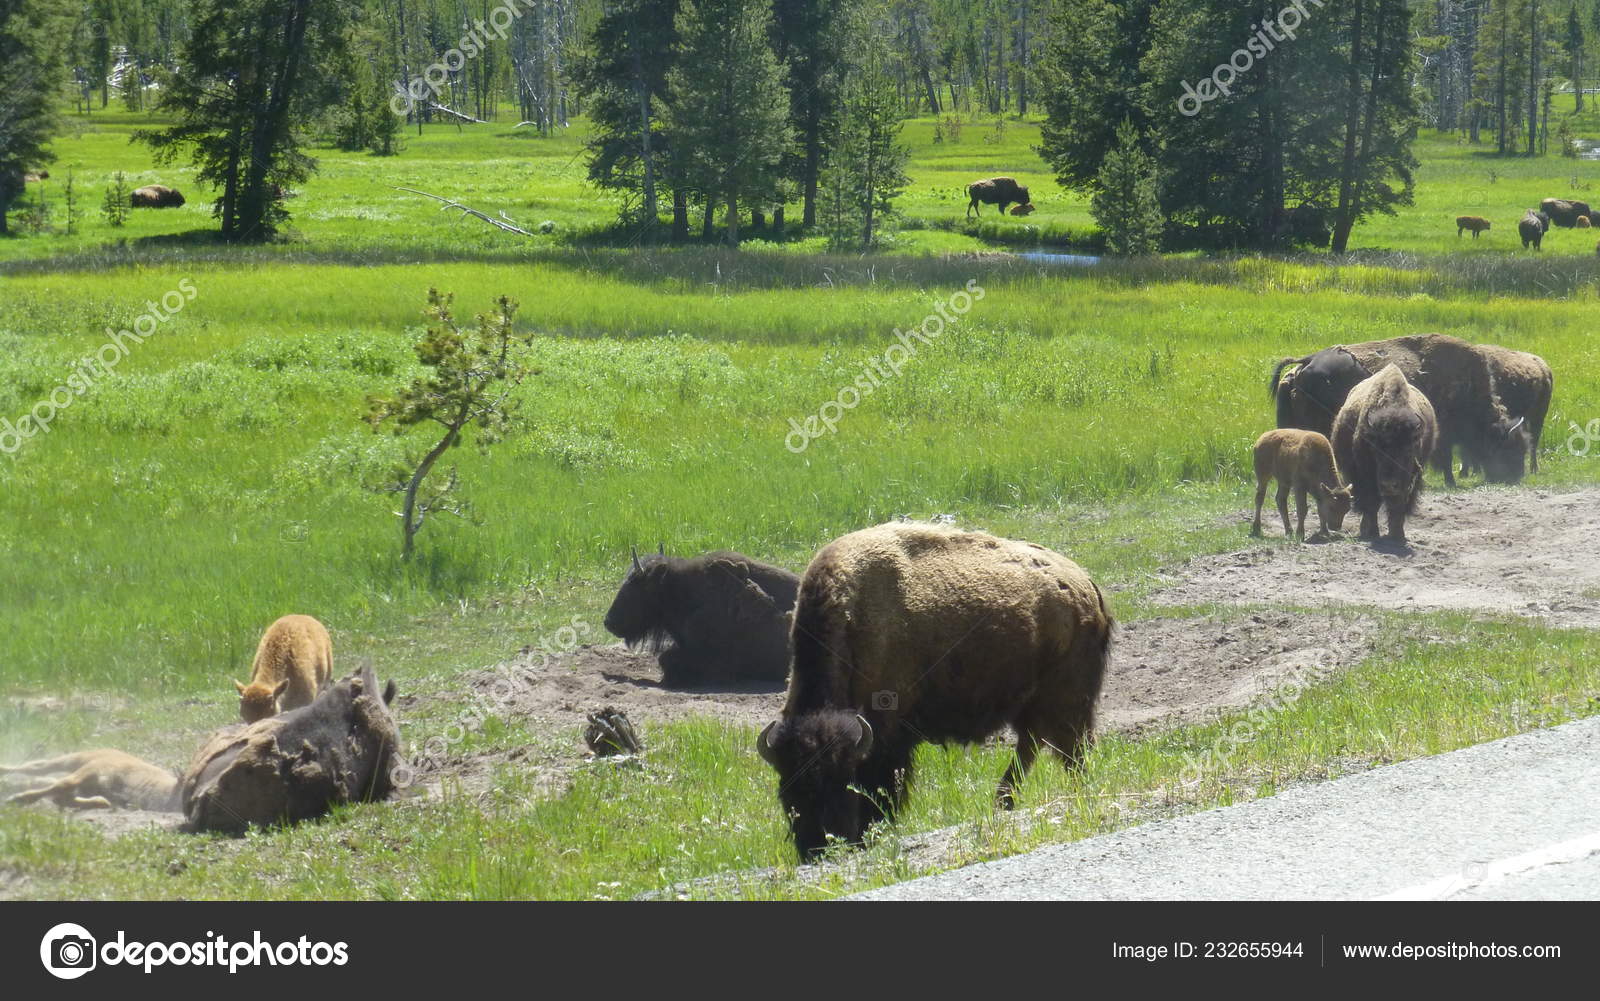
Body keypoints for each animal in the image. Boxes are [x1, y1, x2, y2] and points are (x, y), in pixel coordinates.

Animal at [757, 522, 1111, 860]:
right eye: (786, 789)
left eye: (842, 781)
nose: (817, 848)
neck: (855, 620)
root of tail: (1086, 585)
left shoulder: (888, 739)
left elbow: (886, 786)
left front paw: (877, 829)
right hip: (1032, 704)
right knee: (1033, 745)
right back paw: (1004, 801)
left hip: (1066, 701)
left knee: (1070, 750)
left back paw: (1069, 793)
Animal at [1331, 365, 1439, 544]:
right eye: (1376, 450)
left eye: (1408, 450)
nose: (1389, 485)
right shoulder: (1366, 475)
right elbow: (1371, 502)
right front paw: (1373, 533)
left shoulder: (1409, 478)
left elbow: (1398, 505)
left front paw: (1397, 536)